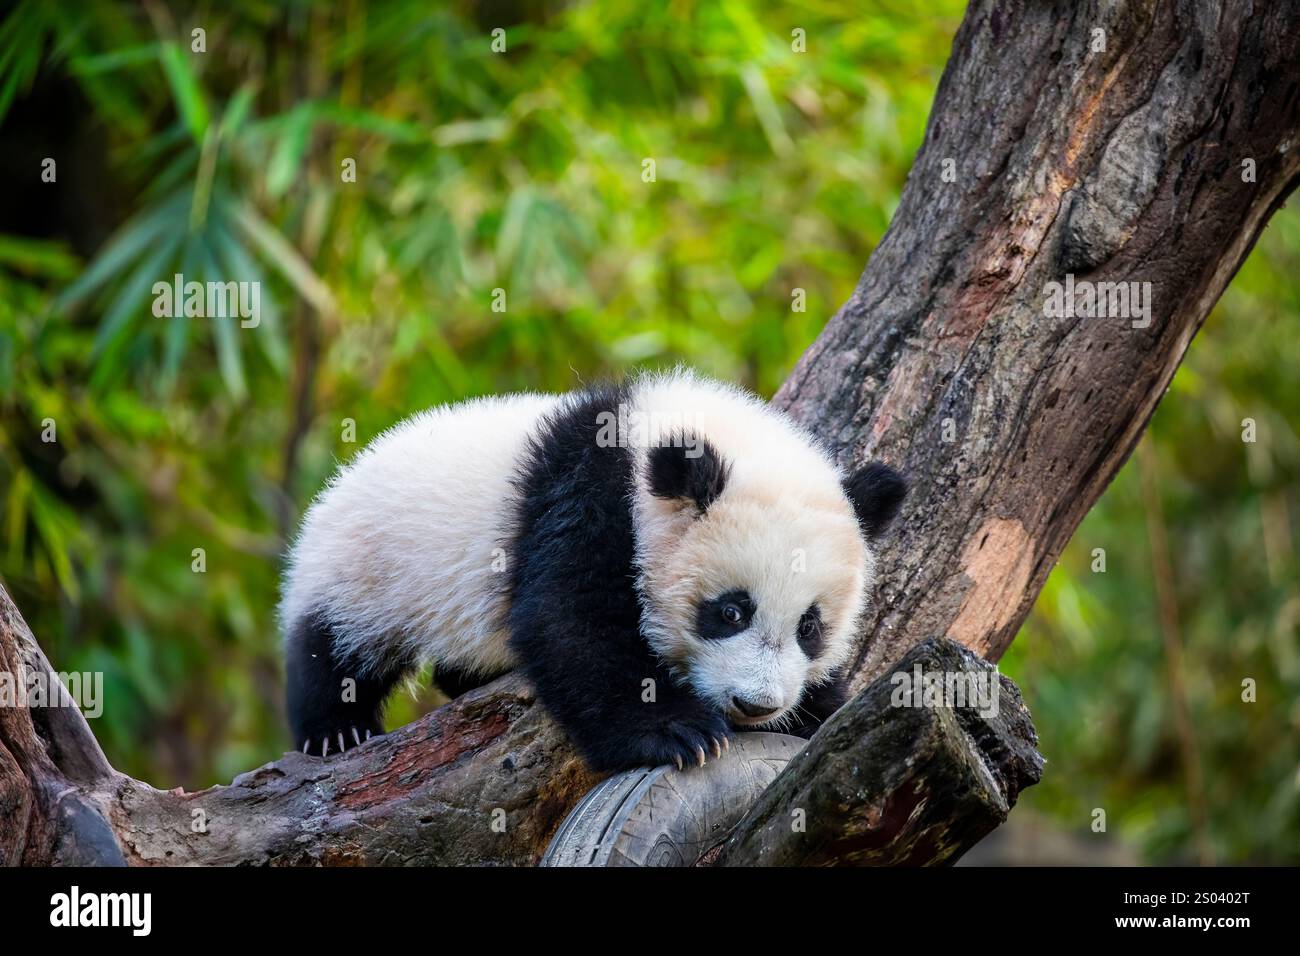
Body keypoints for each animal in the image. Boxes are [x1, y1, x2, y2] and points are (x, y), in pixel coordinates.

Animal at [281, 368, 905, 772]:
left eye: (810, 627)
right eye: (730, 612)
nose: (757, 705)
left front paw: (822, 712)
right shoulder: (587, 495)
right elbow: (569, 620)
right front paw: (676, 732)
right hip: (365, 564)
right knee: (332, 642)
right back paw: (338, 731)